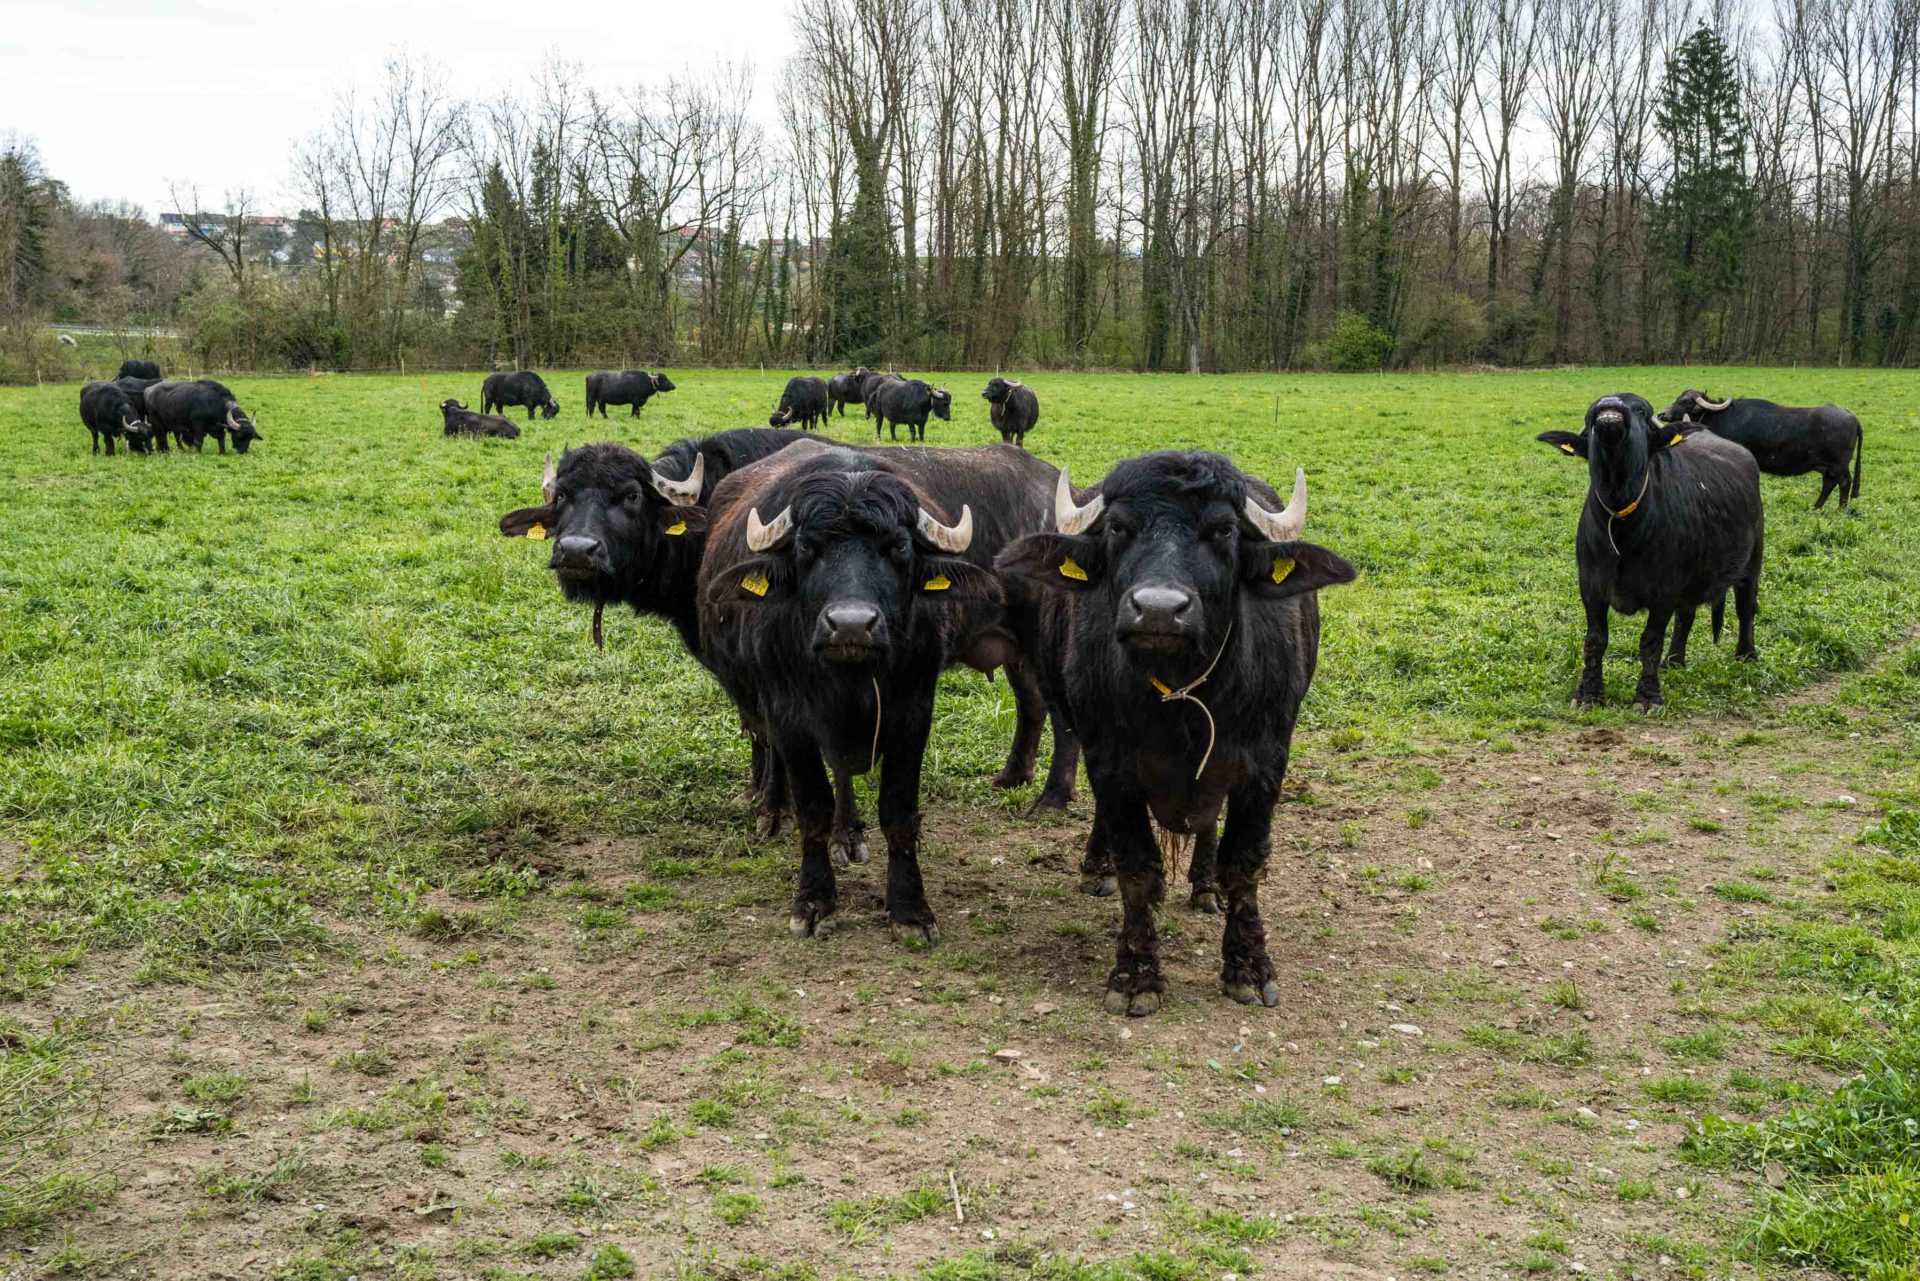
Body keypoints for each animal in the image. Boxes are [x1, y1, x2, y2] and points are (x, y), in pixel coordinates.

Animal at [997, 452, 1354, 1014]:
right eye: (1118, 528)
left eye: (1224, 529)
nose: (1159, 610)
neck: (1182, 697)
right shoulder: (1111, 763)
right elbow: (1138, 870)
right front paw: (1135, 976)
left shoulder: (1265, 764)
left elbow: (1244, 864)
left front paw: (1248, 968)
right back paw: (1096, 866)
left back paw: (1205, 886)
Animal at [1538, 394, 1764, 712]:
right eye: (1591, 412)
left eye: (1640, 410)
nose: (1610, 405)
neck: (1624, 532)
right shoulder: (1591, 588)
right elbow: (1595, 640)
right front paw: (1588, 695)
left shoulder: (1664, 592)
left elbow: (1650, 641)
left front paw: (1647, 697)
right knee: (1686, 616)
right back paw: (1674, 660)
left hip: (1752, 561)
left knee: (1745, 607)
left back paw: (1746, 654)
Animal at [1657, 389, 1863, 510]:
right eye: (1678, 398)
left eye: (1686, 402)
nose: (1662, 413)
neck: (1720, 418)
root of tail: (1850, 416)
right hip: (1826, 466)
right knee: (1829, 483)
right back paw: (1816, 507)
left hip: (1839, 464)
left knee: (1845, 482)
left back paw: (1842, 508)